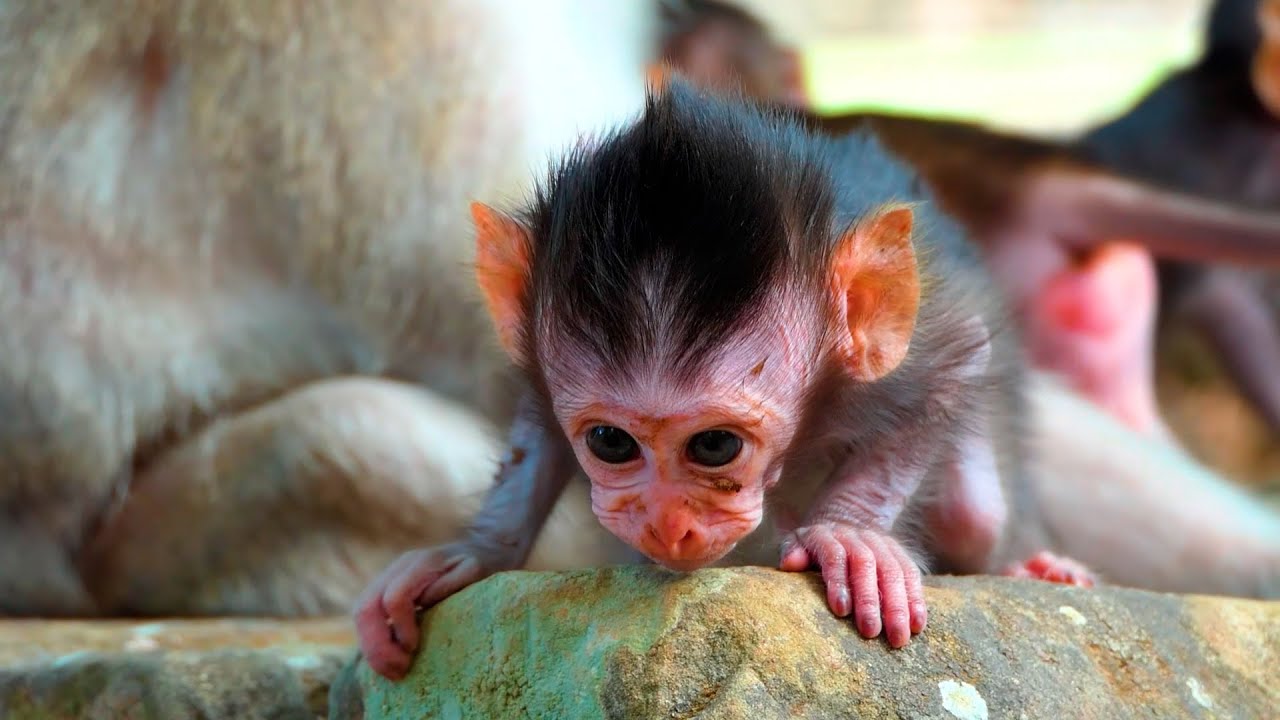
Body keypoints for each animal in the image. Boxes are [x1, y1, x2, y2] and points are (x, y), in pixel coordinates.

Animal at [354, 77, 1096, 681]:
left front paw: (848, 534)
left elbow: (957, 364)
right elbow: (534, 441)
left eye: (715, 447)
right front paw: (471, 552)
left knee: (978, 514)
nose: (668, 528)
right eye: (610, 443)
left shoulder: (919, 352)